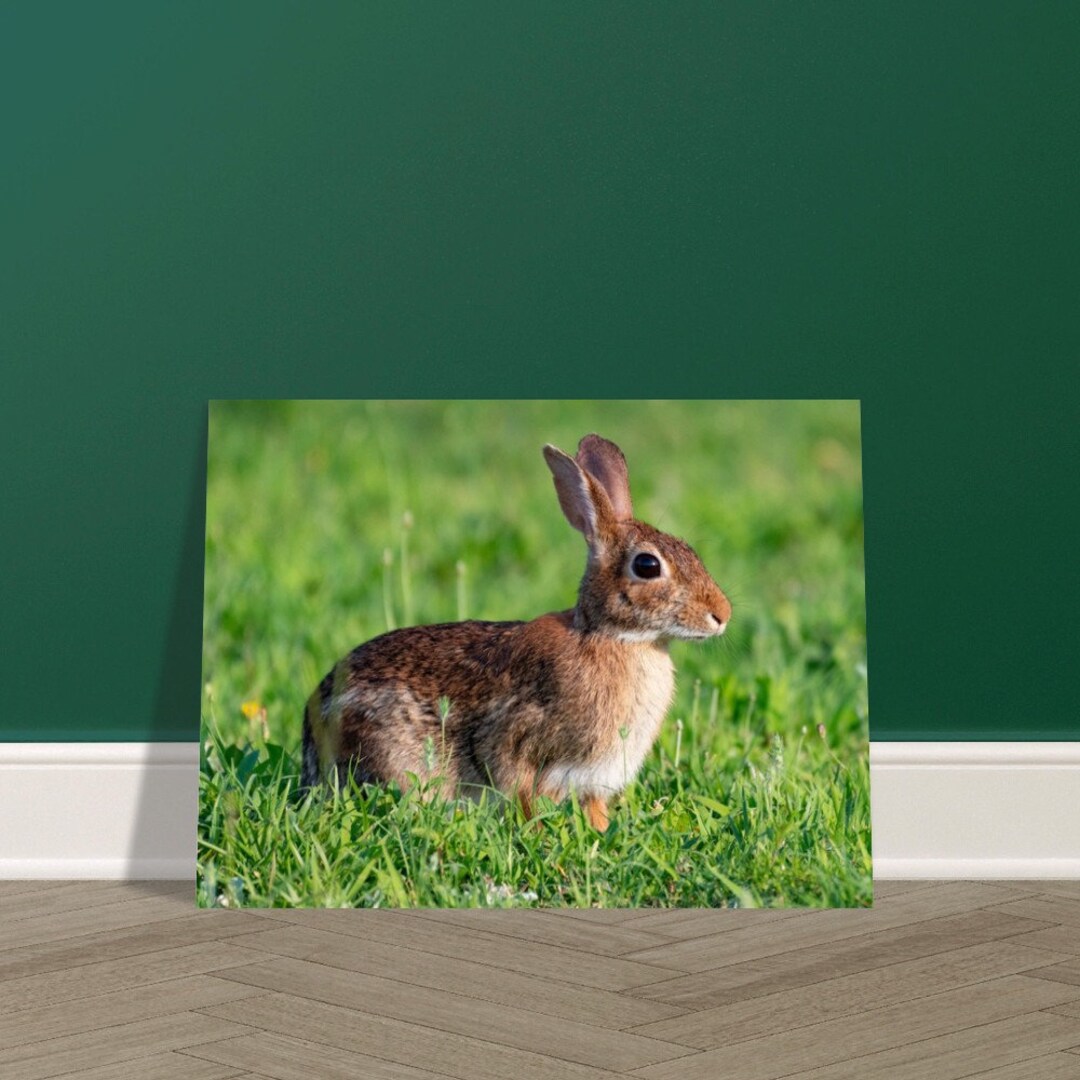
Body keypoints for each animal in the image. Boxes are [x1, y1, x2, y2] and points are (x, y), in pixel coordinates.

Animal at [301, 434, 731, 831]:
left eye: (688, 549)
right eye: (647, 565)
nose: (721, 614)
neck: (611, 637)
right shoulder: (521, 746)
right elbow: (524, 796)